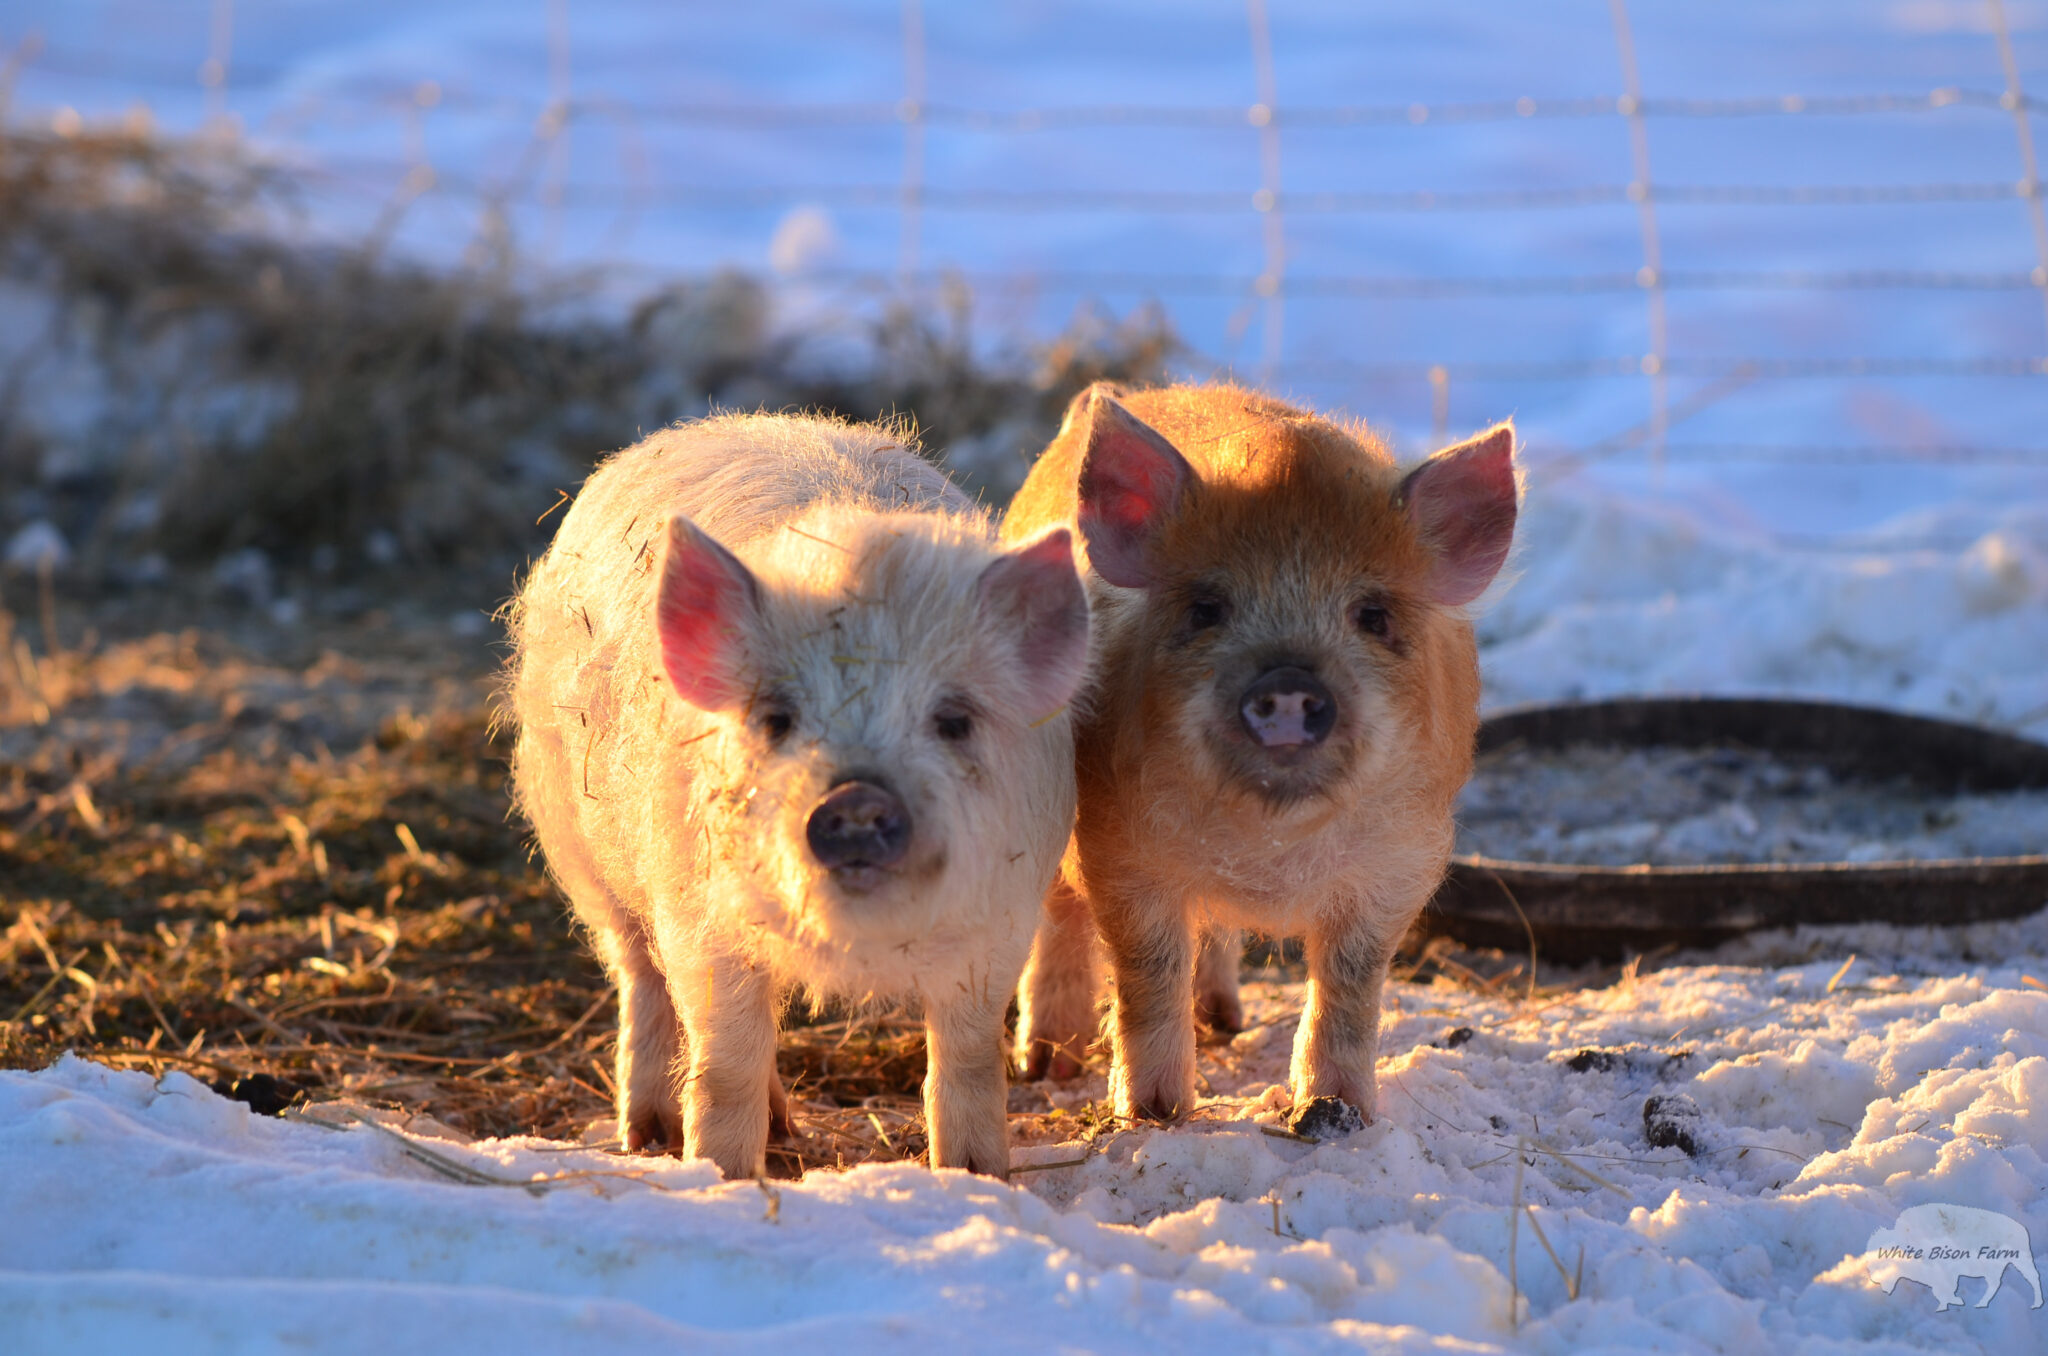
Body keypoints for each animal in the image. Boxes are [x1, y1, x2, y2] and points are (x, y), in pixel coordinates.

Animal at [506, 413, 1089, 1179]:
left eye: (954, 720)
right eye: (777, 718)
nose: (856, 799)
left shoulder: (1000, 918)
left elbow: (966, 1059)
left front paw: (973, 1174)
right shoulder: (702, 916)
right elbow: (726, 1060)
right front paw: (723, 1174)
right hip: (581, 852)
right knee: (641, 979)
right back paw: (653, 1135)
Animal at [1002, 382, 1518, 1126]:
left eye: (1374, 616)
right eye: (1206, 608)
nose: (1289, 683)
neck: (1269, 851)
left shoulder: (1403, 861)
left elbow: (1349, 985)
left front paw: (1337, 1110)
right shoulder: (1119, 849)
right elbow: (1148, 972)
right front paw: (1154, 1114)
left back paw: (1224, 1021)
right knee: (1061, 916)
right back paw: (1046, 1065)